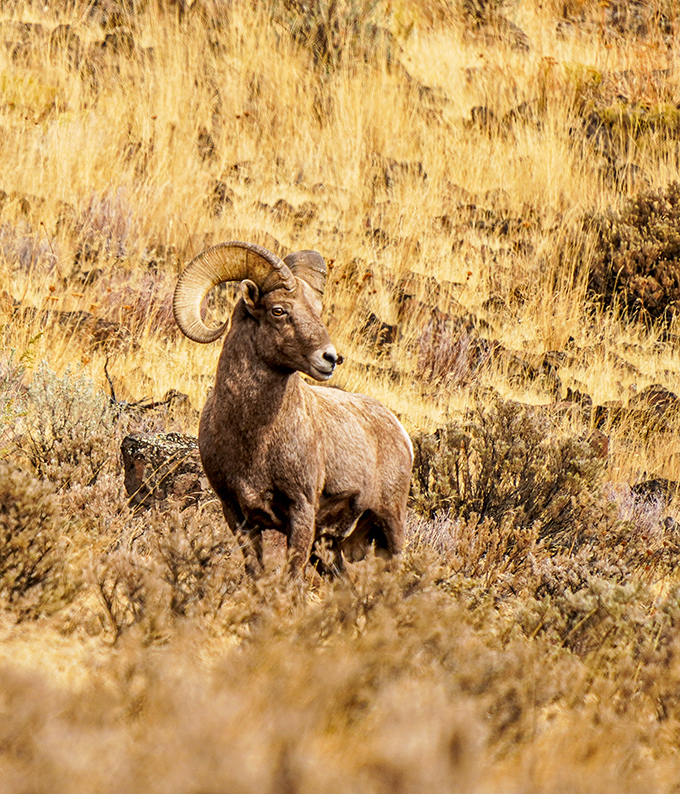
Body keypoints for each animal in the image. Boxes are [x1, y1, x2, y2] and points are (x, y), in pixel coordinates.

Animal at [173, 241, 413, 575]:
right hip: (328, 548)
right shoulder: (237, 515)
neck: (255, 438)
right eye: (278, 310)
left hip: (390, 525)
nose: (330, 358)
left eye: (317, 310)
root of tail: (400, 431)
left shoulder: (301, 512)